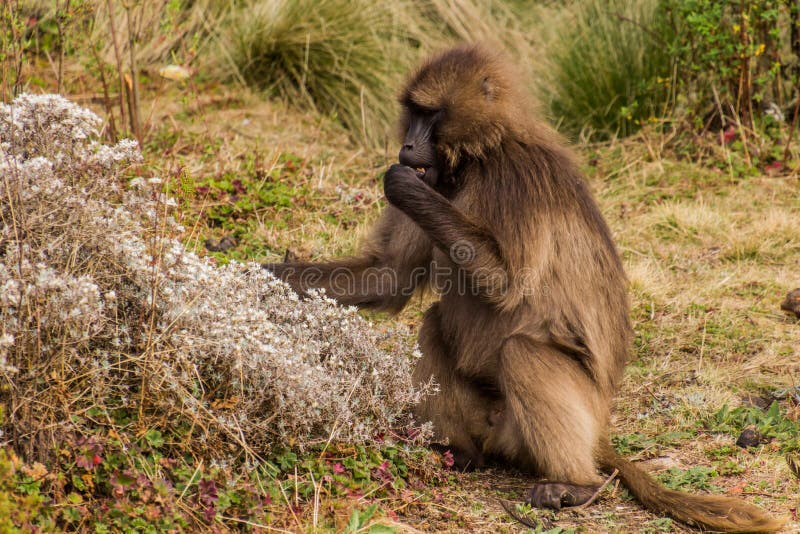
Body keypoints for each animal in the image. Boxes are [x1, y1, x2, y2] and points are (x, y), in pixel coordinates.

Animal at [264, 45, 784, 532]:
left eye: (431, 115)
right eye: (412, 112)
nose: (407, 147)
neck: (478, 158)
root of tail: (598, 433)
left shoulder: (514, 183)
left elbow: (505, 283)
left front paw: (402, 186)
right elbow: (387, 276)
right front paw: (261, 278)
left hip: (562, 414)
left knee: (522, 352)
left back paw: (576, 486)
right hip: (485, 421)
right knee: (434, 325)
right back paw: (457, 454)